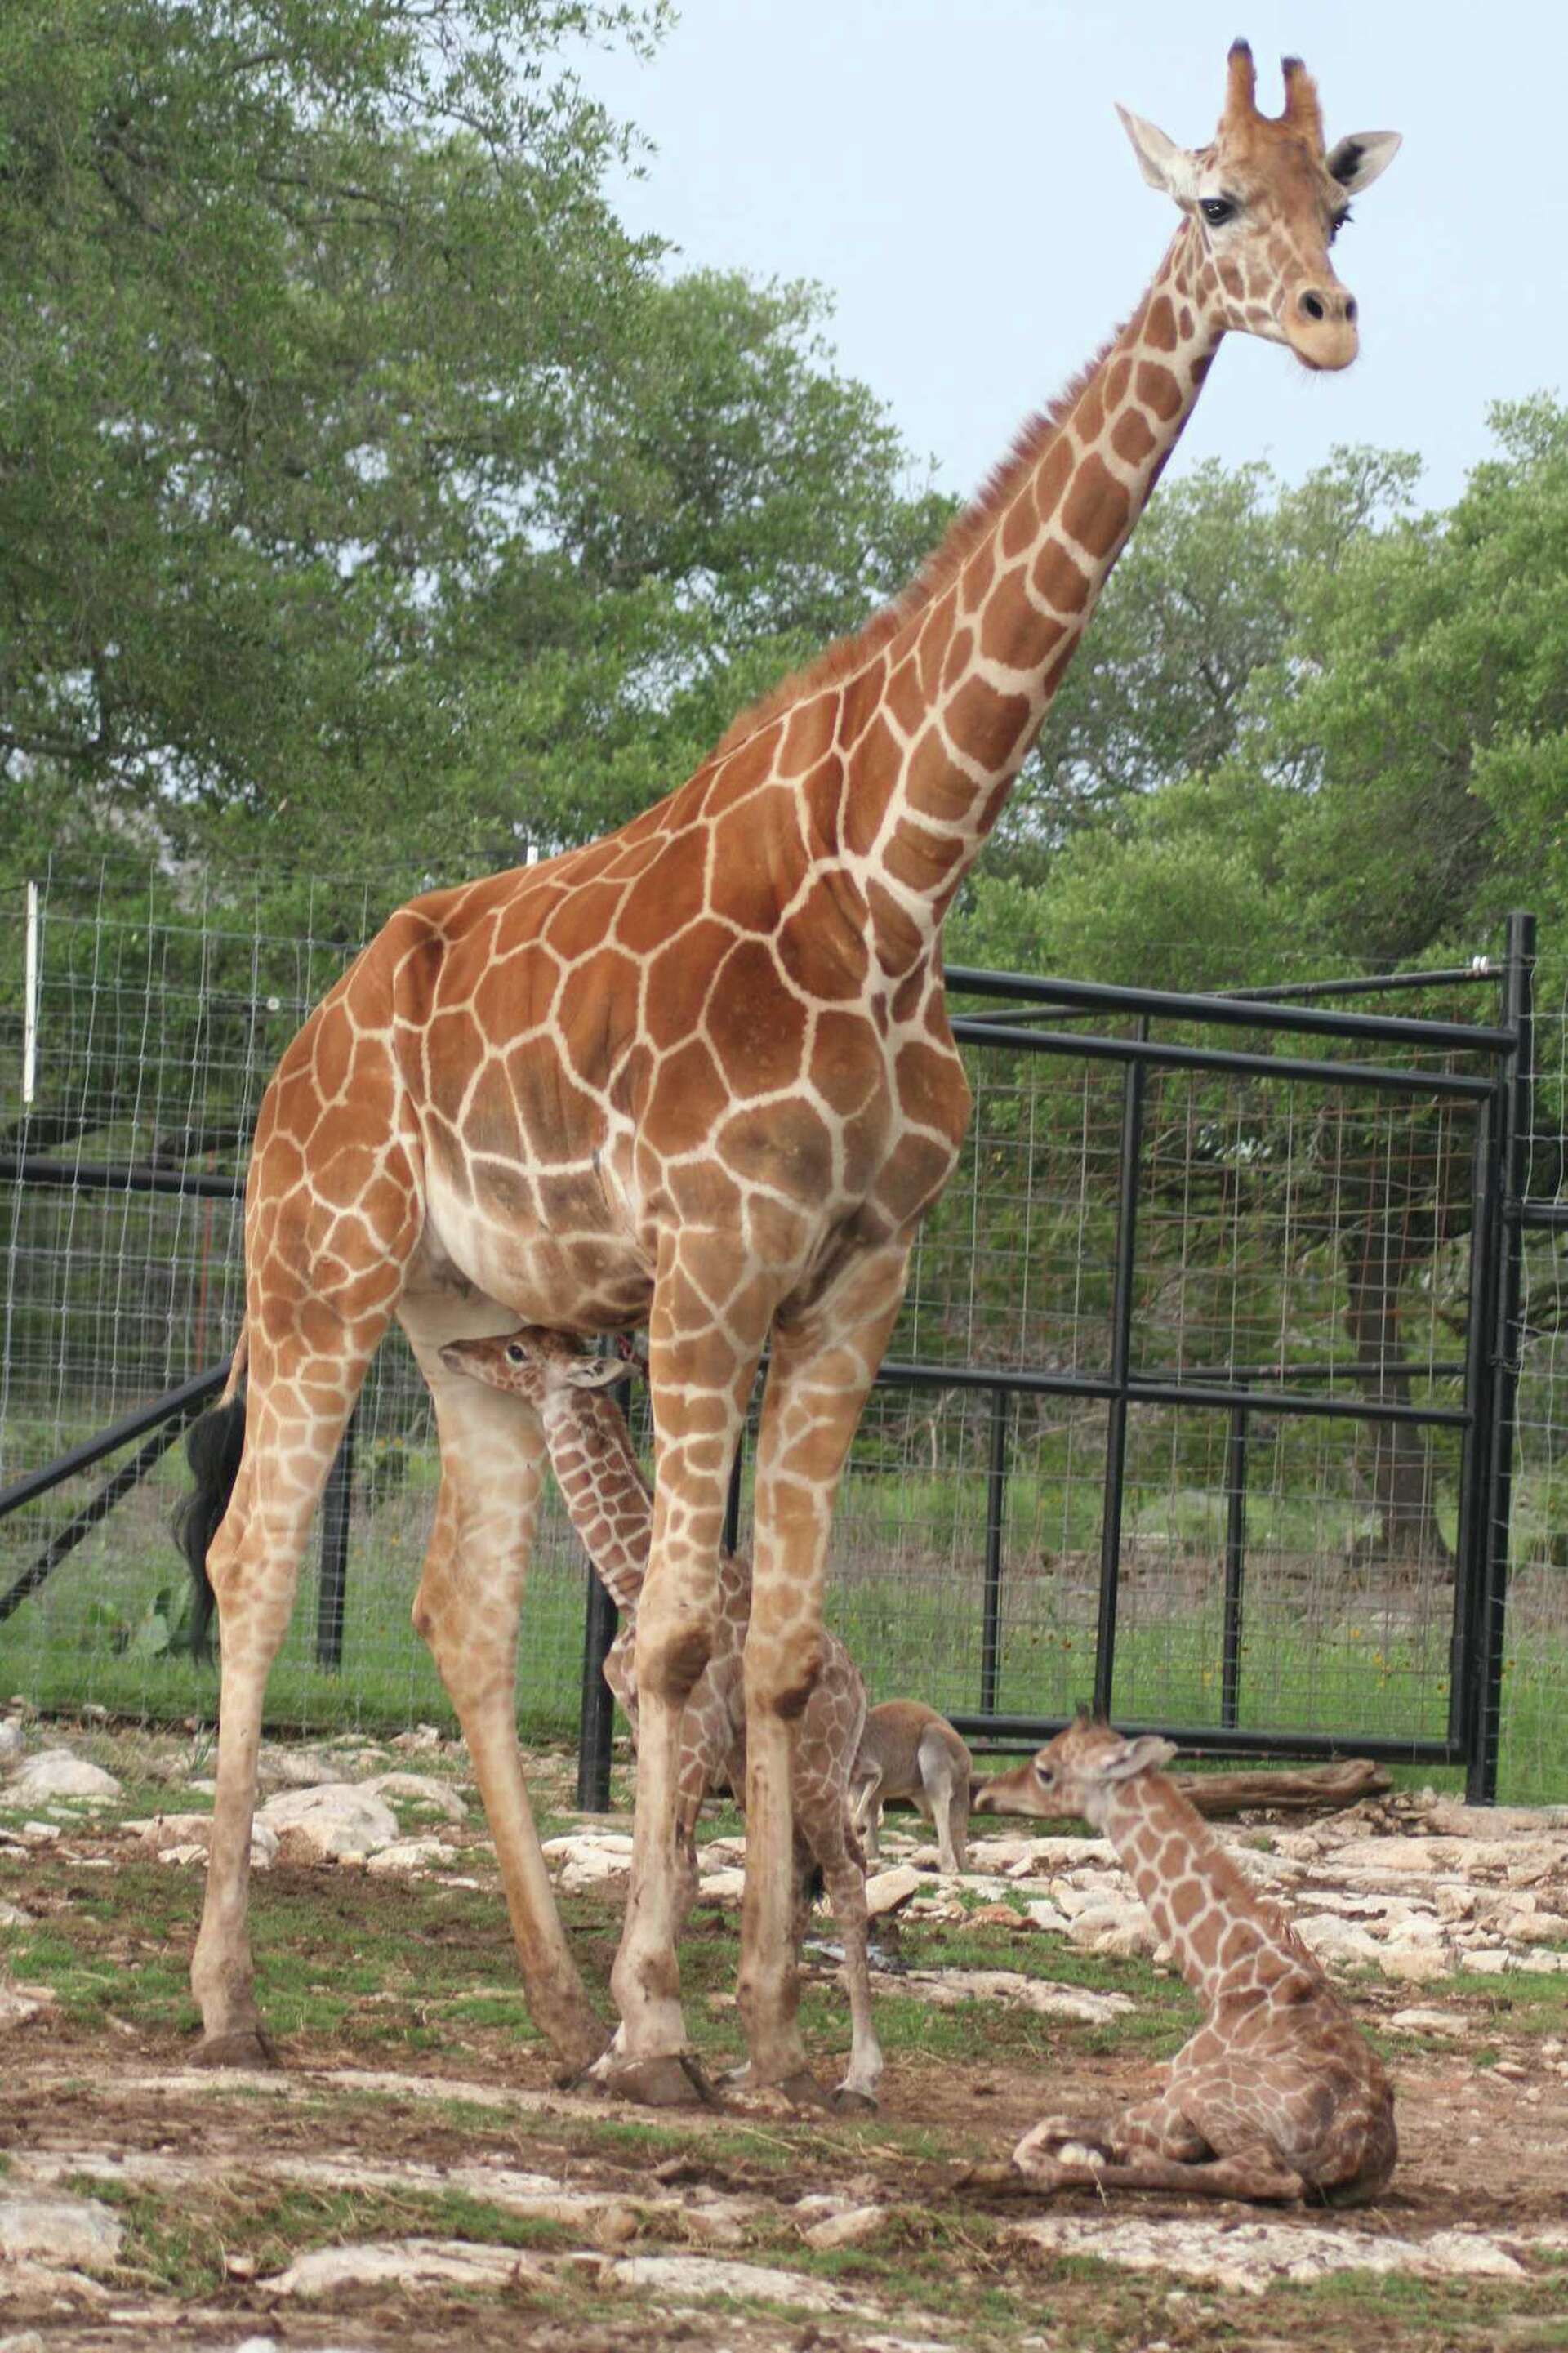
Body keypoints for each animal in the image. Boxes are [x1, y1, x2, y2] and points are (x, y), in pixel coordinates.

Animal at [438, 1324, 883, 2107]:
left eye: (519, 1353)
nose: (456, 1348)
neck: (627, 1574)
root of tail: (858, 1687)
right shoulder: (650, 1728)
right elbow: (668, 1869)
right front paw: (641, 2046)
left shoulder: (696, 1738)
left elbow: (678, 1872)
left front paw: (633, 2049)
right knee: (798, 1880)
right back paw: (757, 2063)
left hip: (818, 1772)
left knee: (850, 1876)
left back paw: (860, 2074)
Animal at [1003, 1717, 1397, 2204]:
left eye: (1044, 1771)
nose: (986, 1792)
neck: (1223, 1975)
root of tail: (1355, 2149)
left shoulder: (1174, 2100)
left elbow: (1047, 2126)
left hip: (1204, 2098)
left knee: (1270, 2175)